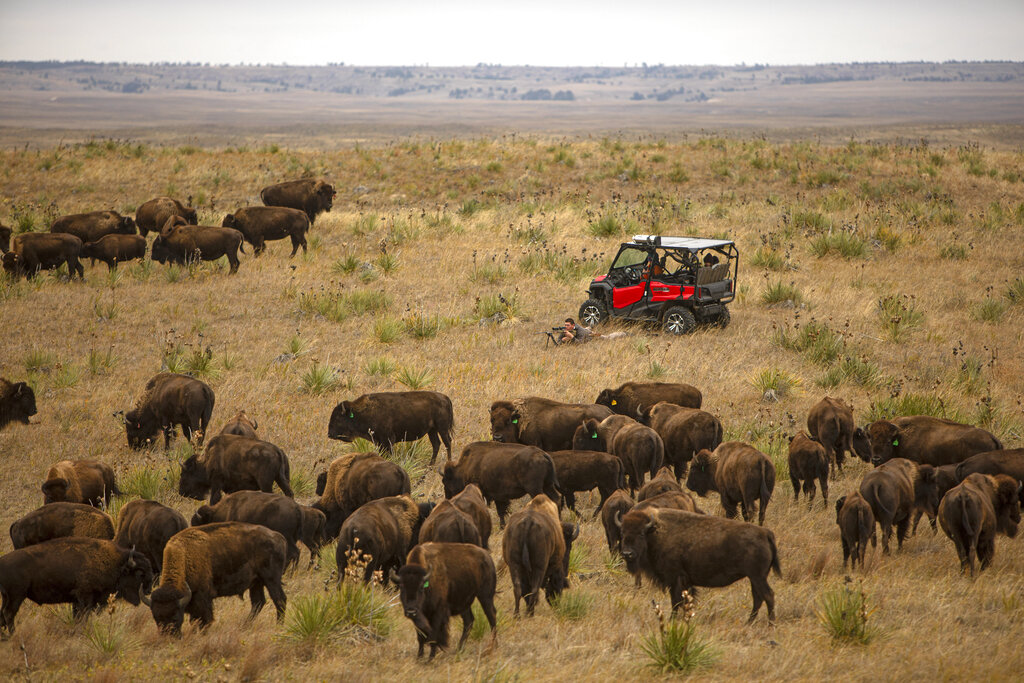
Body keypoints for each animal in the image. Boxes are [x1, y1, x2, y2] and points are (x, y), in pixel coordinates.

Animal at [0, 538, 152, 636]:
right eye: (140, 573)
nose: (148, 590)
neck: (116, 564)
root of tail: (2, 562)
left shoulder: (79, 601)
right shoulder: (85, 597)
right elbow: (83, 617)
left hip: (7, 597)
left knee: (3, 613)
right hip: (16, 596)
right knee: (9, 613)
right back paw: (13, 635)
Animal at [142, 522, 287, 634]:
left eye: (175, 617)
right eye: (156, 618)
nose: (168, 636)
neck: (185, 555)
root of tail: (278, 537)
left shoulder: (202, 598)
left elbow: (204, 619)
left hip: (271, 579)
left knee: (279, 600)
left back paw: (278, 626)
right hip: (256, 582)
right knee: (258, 602)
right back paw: (245, 625)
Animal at [618, 508, 781, 623]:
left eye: (641, 534)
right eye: (623, 533)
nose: (627, 553)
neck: (656, 533)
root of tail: (765, 533)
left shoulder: (675, 579)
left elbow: (676, 602)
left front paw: (672, 620)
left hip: (757, 577)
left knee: (768, 595)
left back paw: (771, 623)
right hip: (755, 578)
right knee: (758, 598)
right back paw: (749, 622)